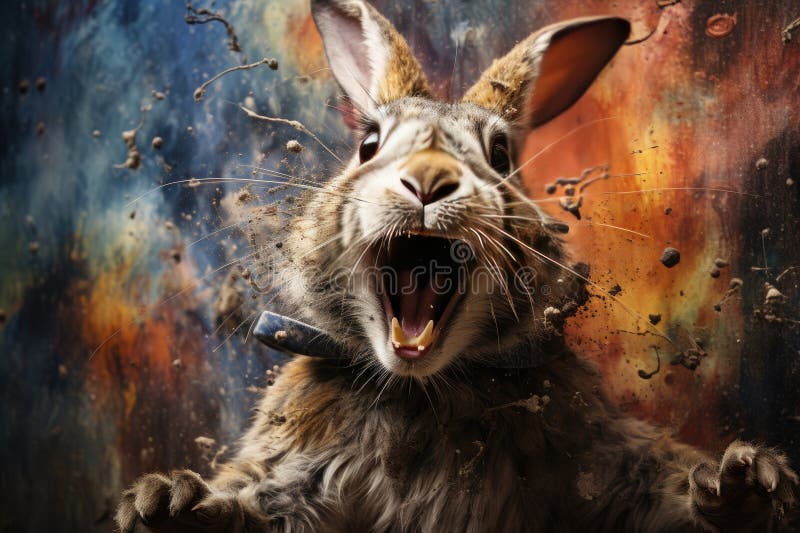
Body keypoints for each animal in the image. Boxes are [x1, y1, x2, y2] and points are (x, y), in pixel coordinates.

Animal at [116, 1, 798, 531]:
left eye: (500, 155)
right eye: (368, 145)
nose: (427, 180)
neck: (420, 387)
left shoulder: (602, 469)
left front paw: (741, 483)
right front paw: (172, 502)